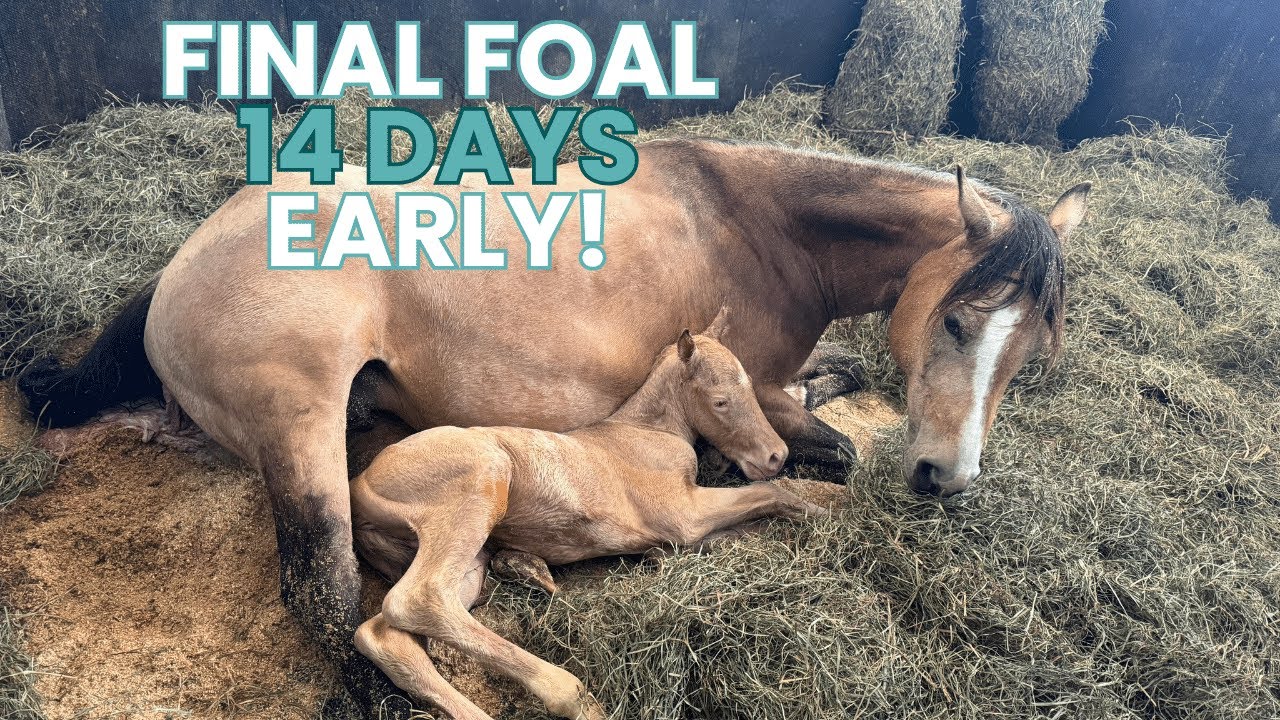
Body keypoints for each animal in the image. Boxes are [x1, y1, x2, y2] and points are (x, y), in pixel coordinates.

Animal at [352, 318, 820, 720]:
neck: (648, 431)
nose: (776, 455)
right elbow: (771, 493)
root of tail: (359, 481)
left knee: (386, 634)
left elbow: (742, 527)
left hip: (470, 561)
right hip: (481, 483)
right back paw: (573, 695)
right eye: (721, 401)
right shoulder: (681, 513)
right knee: (416, 599)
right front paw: (824, 516)